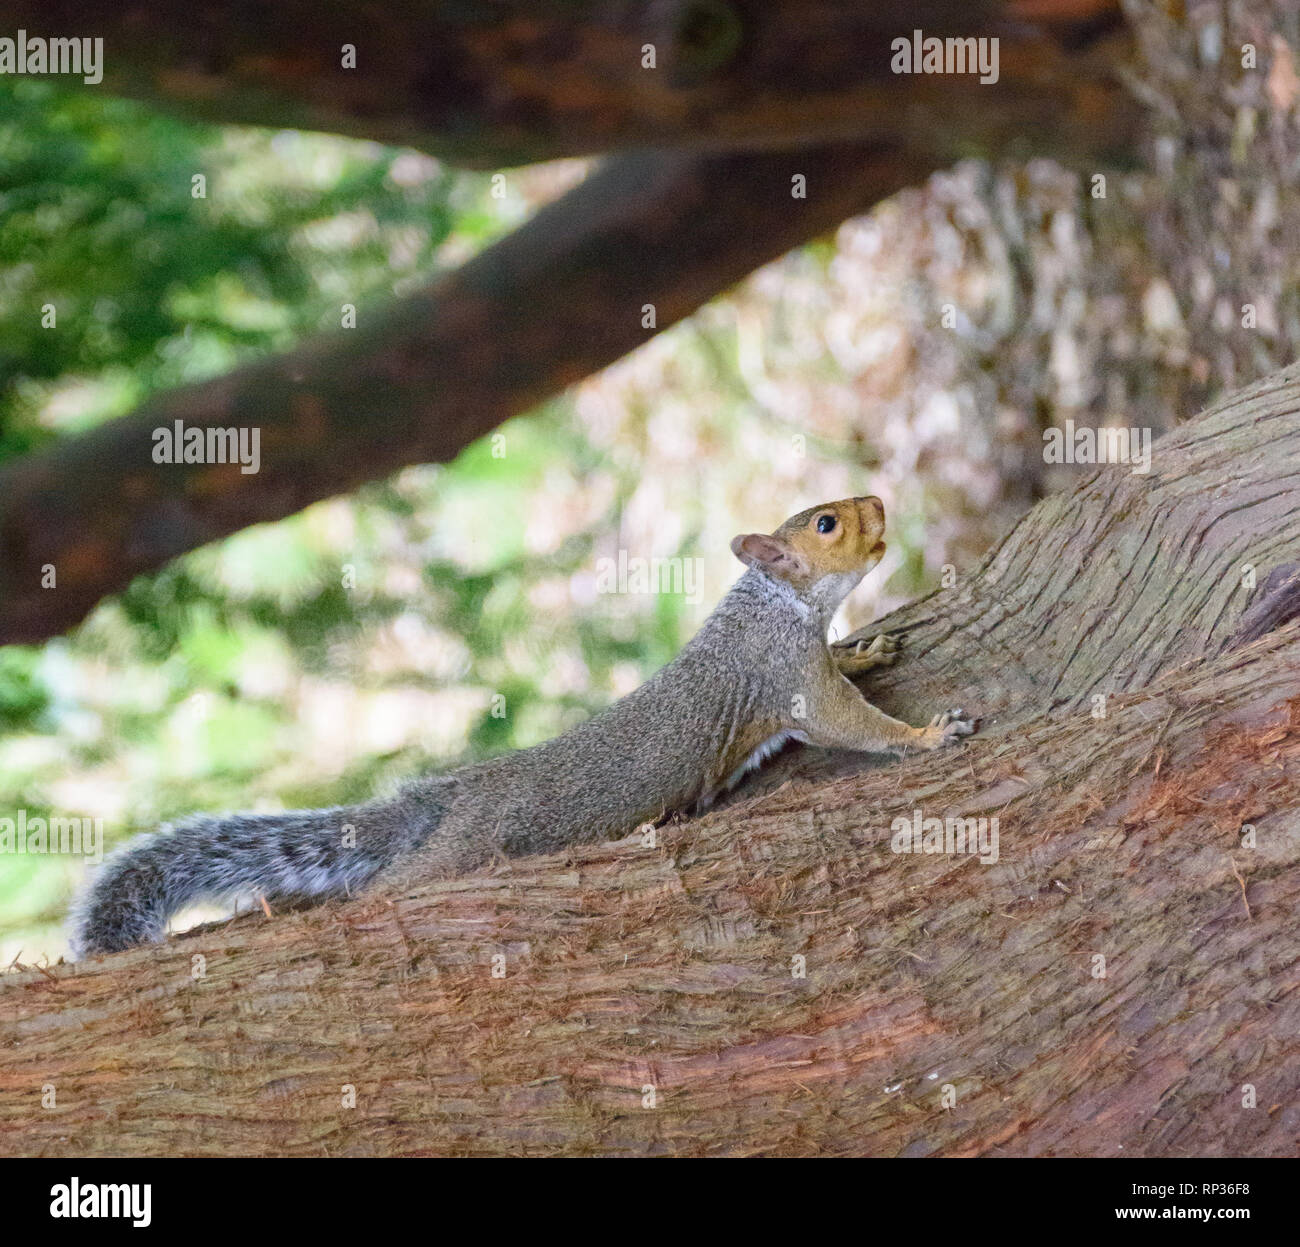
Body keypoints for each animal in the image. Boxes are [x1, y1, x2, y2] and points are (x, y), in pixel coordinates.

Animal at [70, 496, 975, 957]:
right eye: (825, 525)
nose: (877, 500)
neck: (777, 600)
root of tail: (457, 793)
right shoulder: (786, 673)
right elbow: (847, 724)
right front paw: (927, 736)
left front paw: (868, 647)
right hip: (464, 849)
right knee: (389, 884)